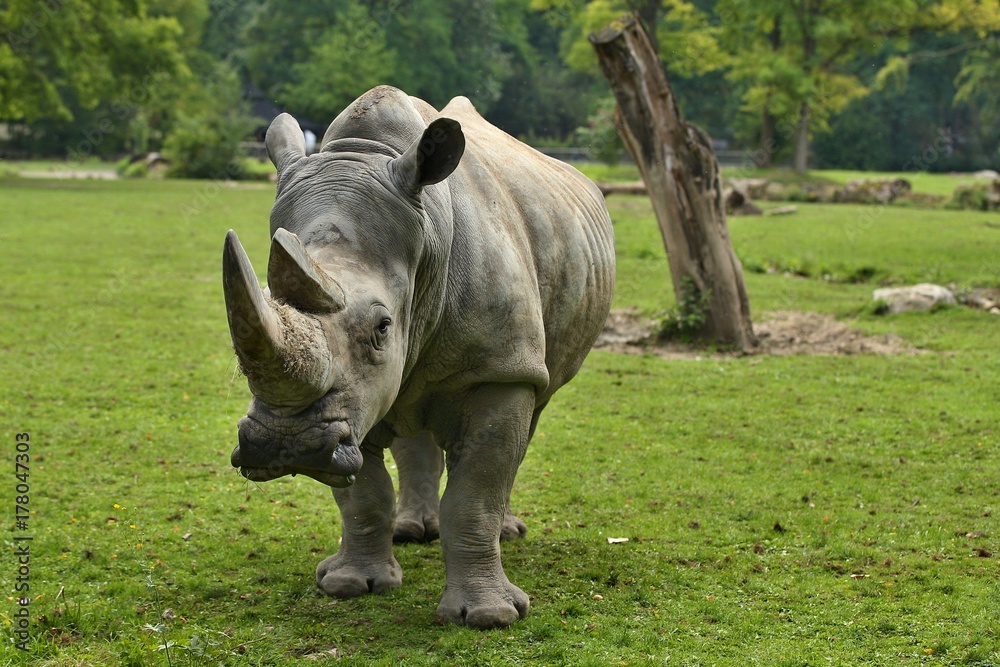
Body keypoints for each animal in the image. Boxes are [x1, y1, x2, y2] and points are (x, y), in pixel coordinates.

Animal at [224, 86, 615, 629]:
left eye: (382, 328)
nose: (286, 446)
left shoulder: (502, 368)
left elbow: (476, 492)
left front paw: (489, 616)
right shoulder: (351, 402)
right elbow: (362, 493)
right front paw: (350, 585)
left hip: (534, 351)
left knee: (532, 410)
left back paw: (507, 533)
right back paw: (411, 530)